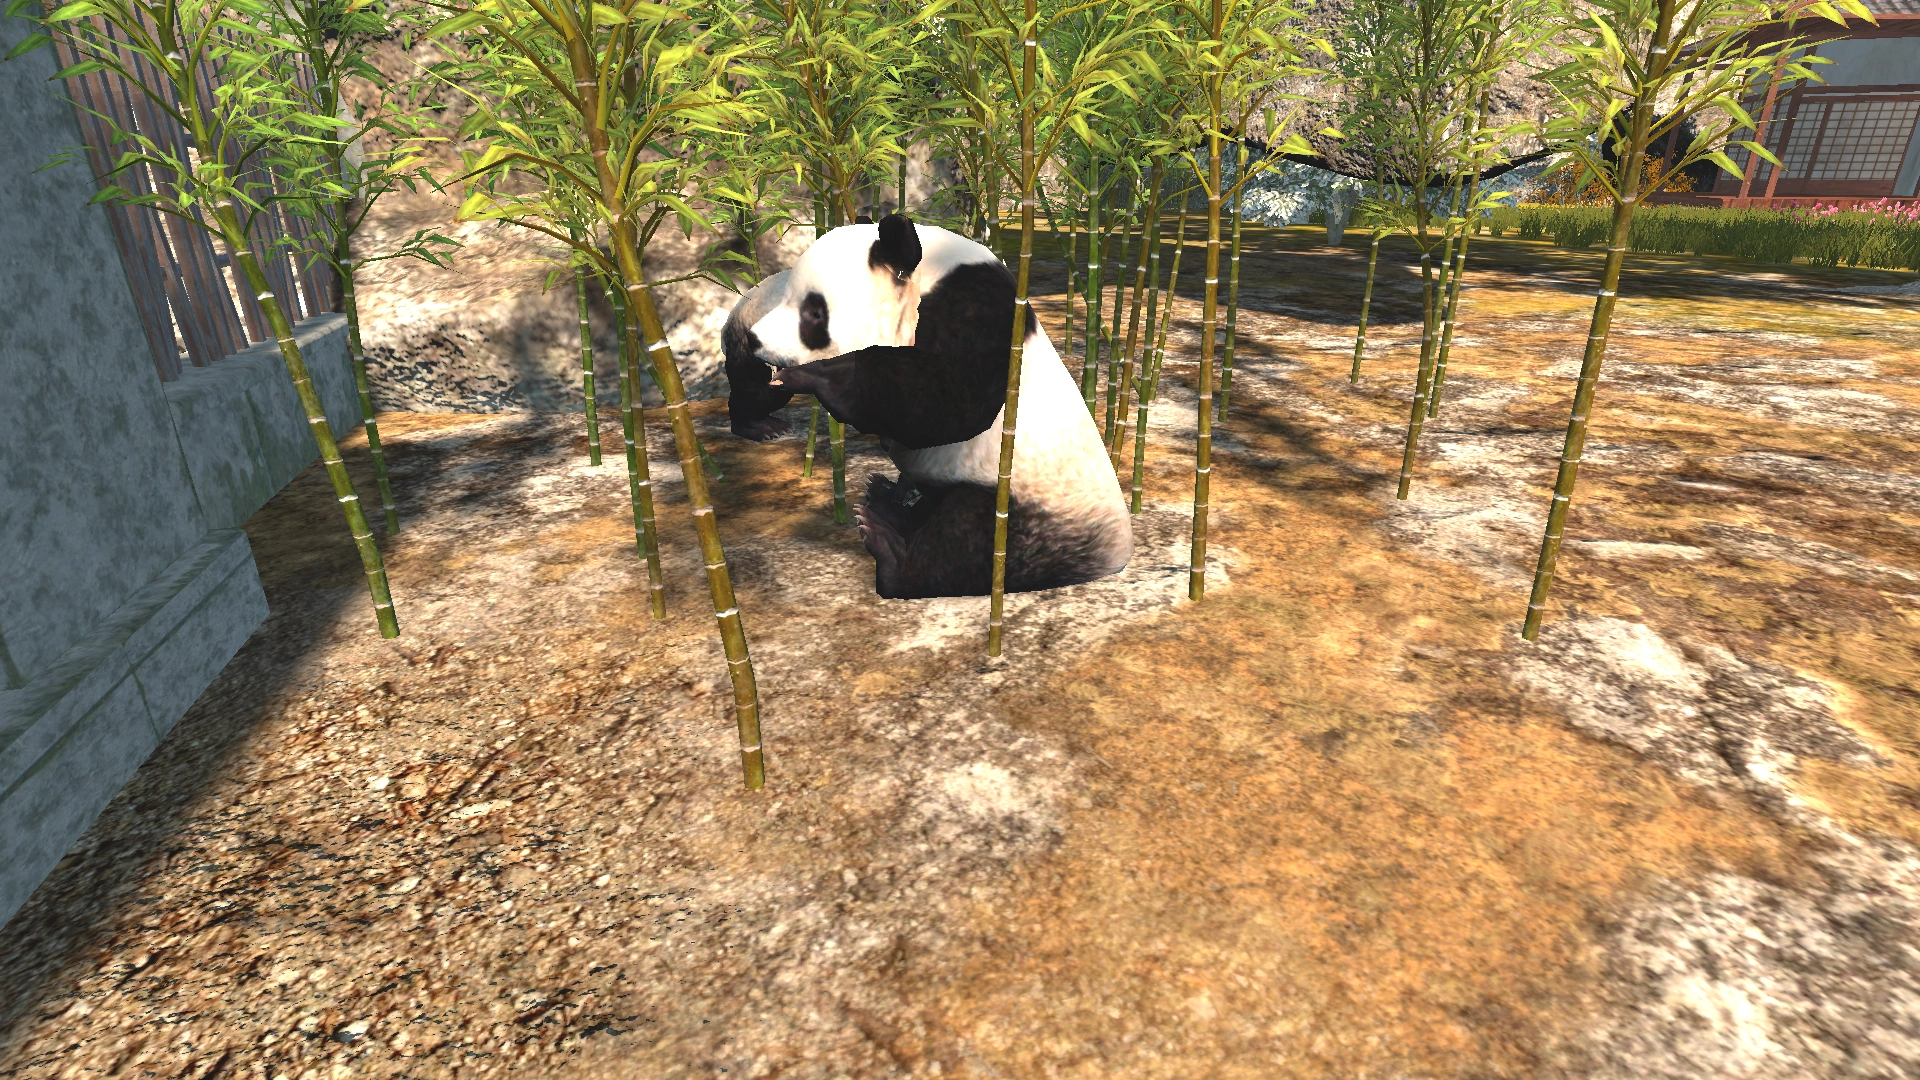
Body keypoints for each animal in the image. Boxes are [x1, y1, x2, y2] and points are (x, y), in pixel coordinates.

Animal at [724, 213, 1133, 600]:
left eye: (814, 313)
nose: (756, 339)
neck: (930, 270)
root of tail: (1114, 558)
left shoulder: (980, 313)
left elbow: (953, 402)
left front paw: (820, 374)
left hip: (1030, 502)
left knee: (974, 544)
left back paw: (890, 551)